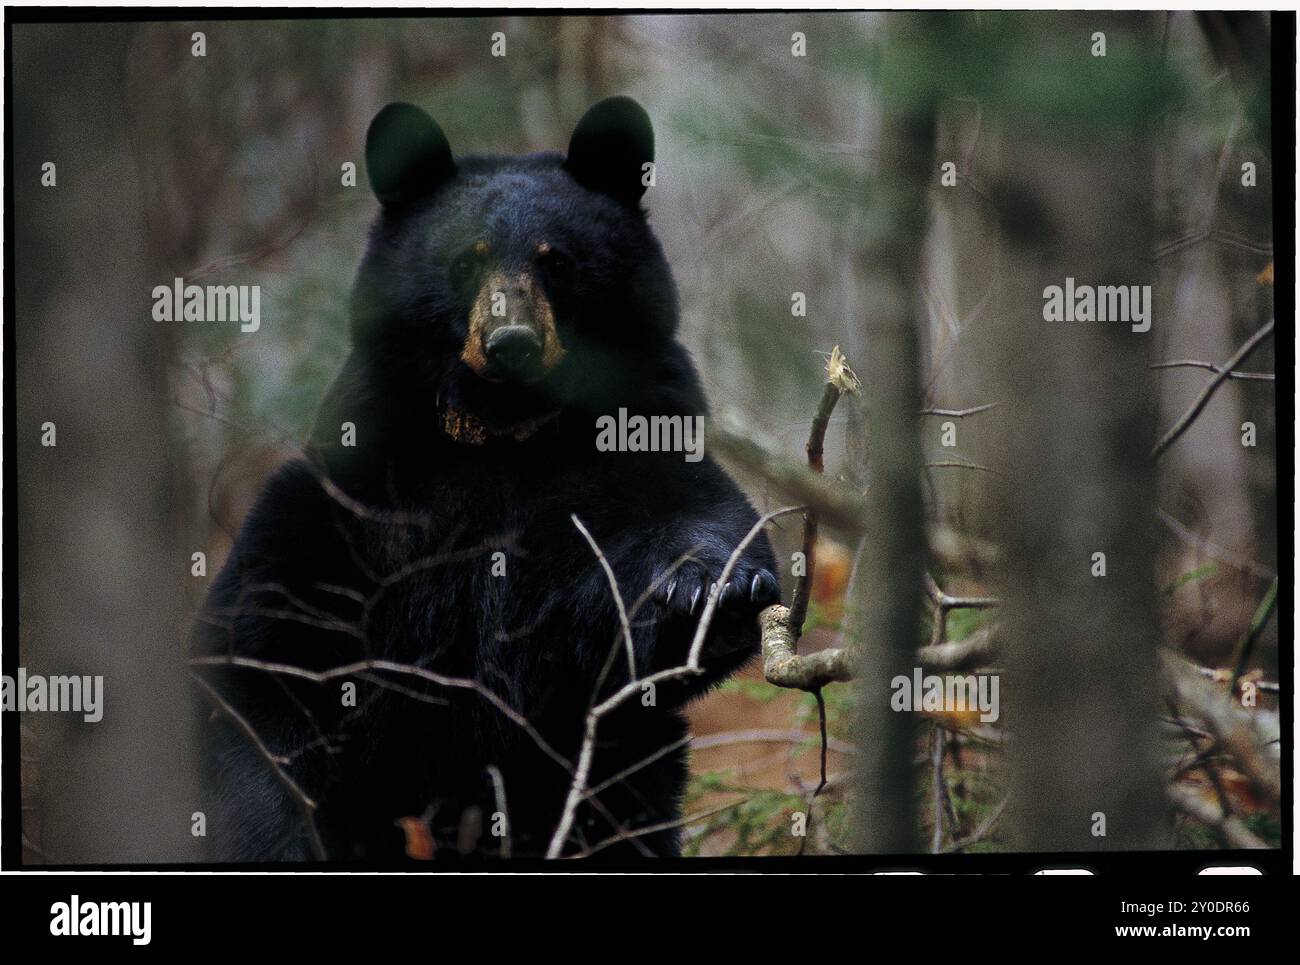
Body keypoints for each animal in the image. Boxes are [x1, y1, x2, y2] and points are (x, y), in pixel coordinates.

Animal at [192, 96, 780, 862]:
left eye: (557, 261)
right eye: (465, 260)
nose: (512, 344)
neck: (502, 432)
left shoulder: (633, 442)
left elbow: (687, 520)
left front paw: (714, 586)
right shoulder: (360, 495)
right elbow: (270, 630)